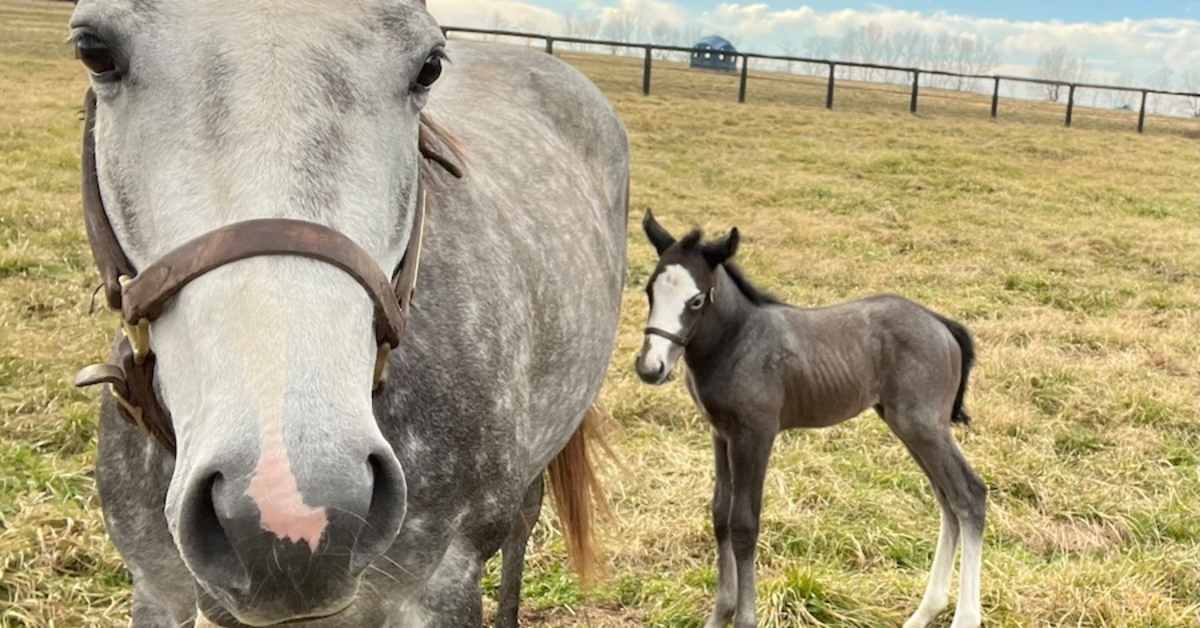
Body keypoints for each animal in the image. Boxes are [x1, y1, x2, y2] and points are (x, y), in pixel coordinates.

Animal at [634, 210, 986, 628]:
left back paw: (964, 617)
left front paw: (745, 618)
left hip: (924, 424)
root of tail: (940, 322)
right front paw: (720, 614)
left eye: (696, 300)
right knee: (947, 499)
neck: (737, 342)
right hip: (909, 425)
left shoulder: (755, 435)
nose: (650, 367)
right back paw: (923, 613)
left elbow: (744, 523)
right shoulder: (721, 433)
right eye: (649, 290)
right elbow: (720, 515)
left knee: (969, 495)